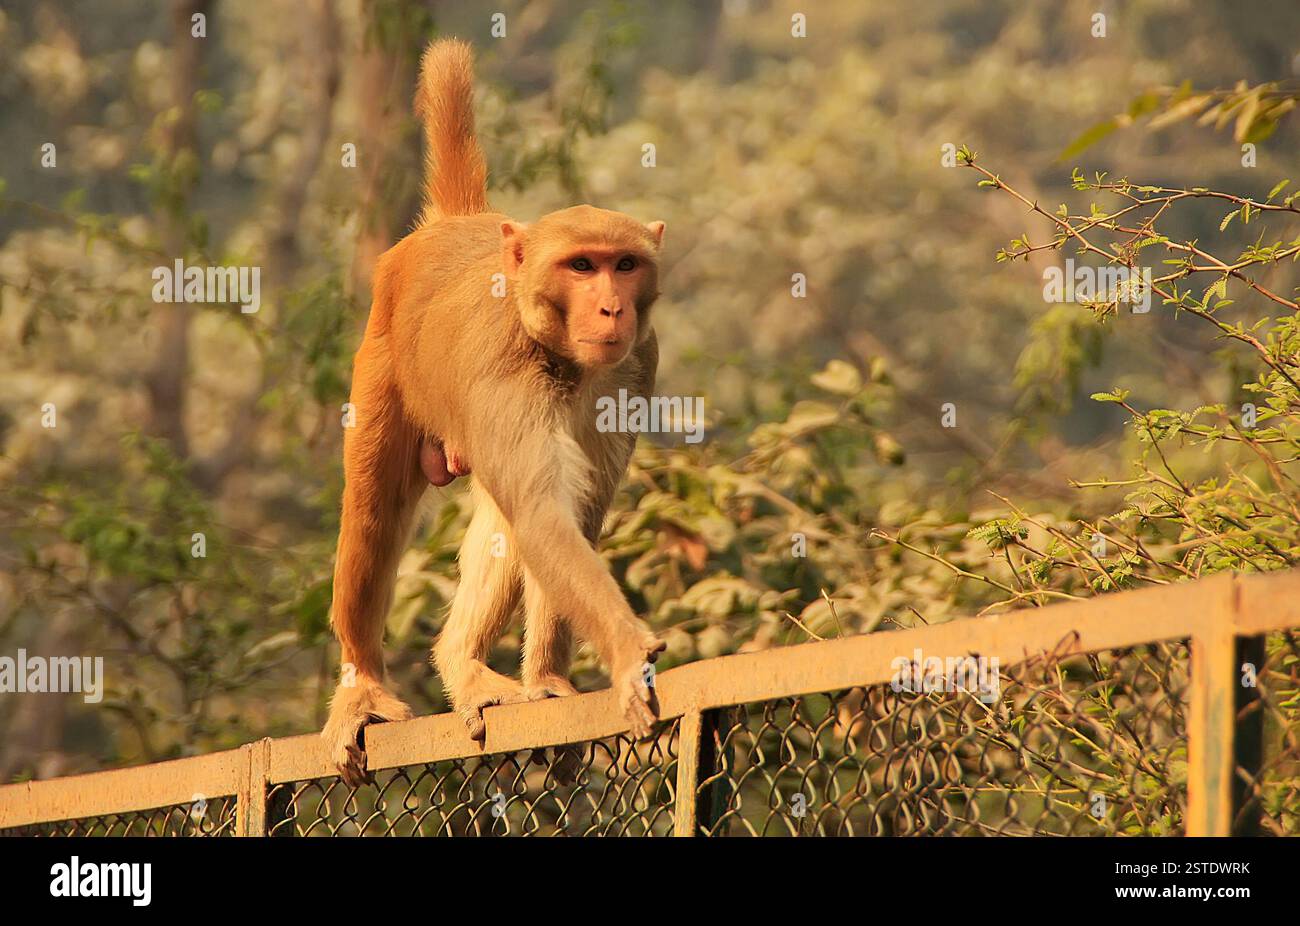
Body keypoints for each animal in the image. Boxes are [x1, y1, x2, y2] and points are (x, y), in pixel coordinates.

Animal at [321, 38, 668, 785]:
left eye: (625, 264)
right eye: (581, 265)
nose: (611, 308)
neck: (558, 354)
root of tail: (456, 224)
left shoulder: (638, 364)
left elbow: (567, 516)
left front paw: (550, 680)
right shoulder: (502, 365)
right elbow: (541, 512)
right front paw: (629, 654)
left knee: (503, 518)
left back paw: (462, 665)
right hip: (383, 374)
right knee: (374, 514)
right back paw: (362, 686)